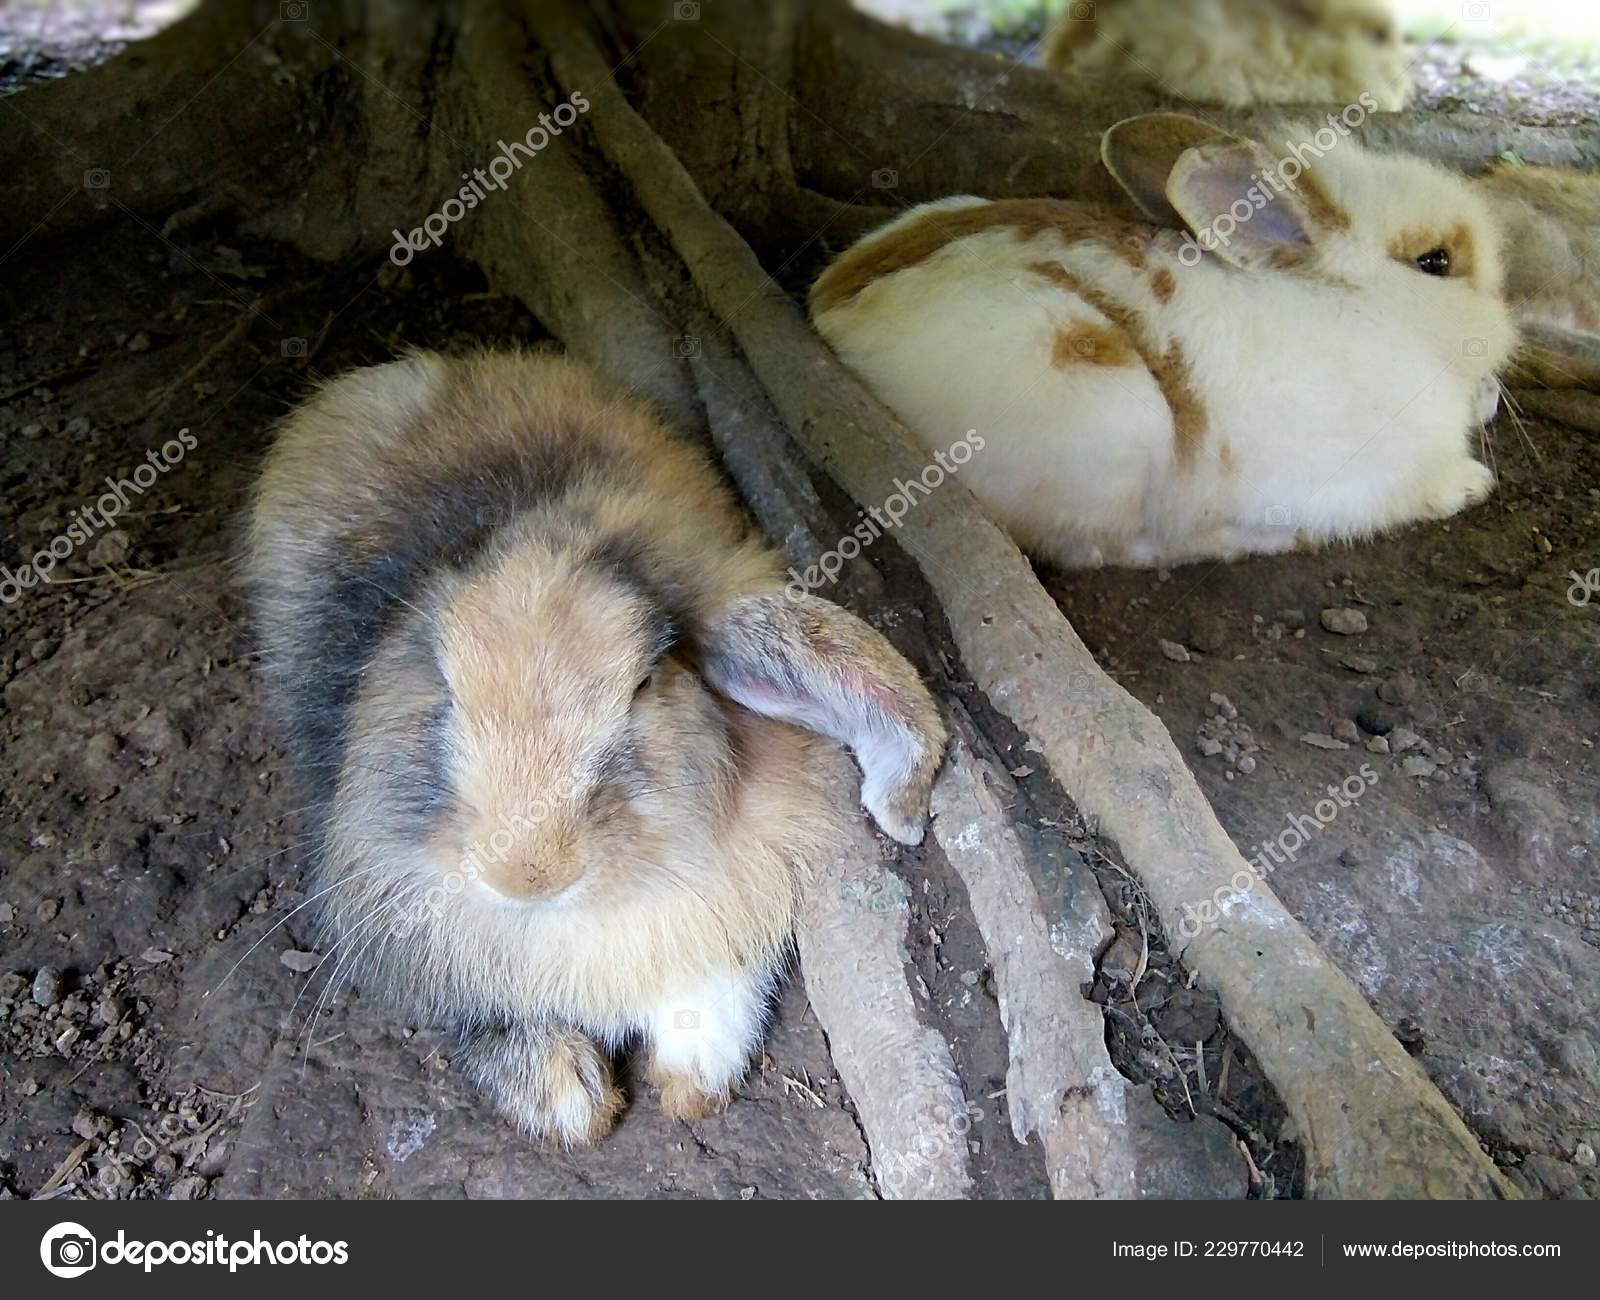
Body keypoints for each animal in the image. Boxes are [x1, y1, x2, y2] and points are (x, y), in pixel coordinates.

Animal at [245, 348, 946, 1144]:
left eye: (644, 683)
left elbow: (718, 986)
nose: (526, 872)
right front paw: (571, 1102)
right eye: (444, 682)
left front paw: (692, 1083)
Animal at [809, 112, 1517, 569]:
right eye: (1436, 261)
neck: (1371, 314)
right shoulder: (1363, 479)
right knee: (1098, 548)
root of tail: (833, 325)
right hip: (1113, 413)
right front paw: (1473, 484)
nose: (1489, 396)